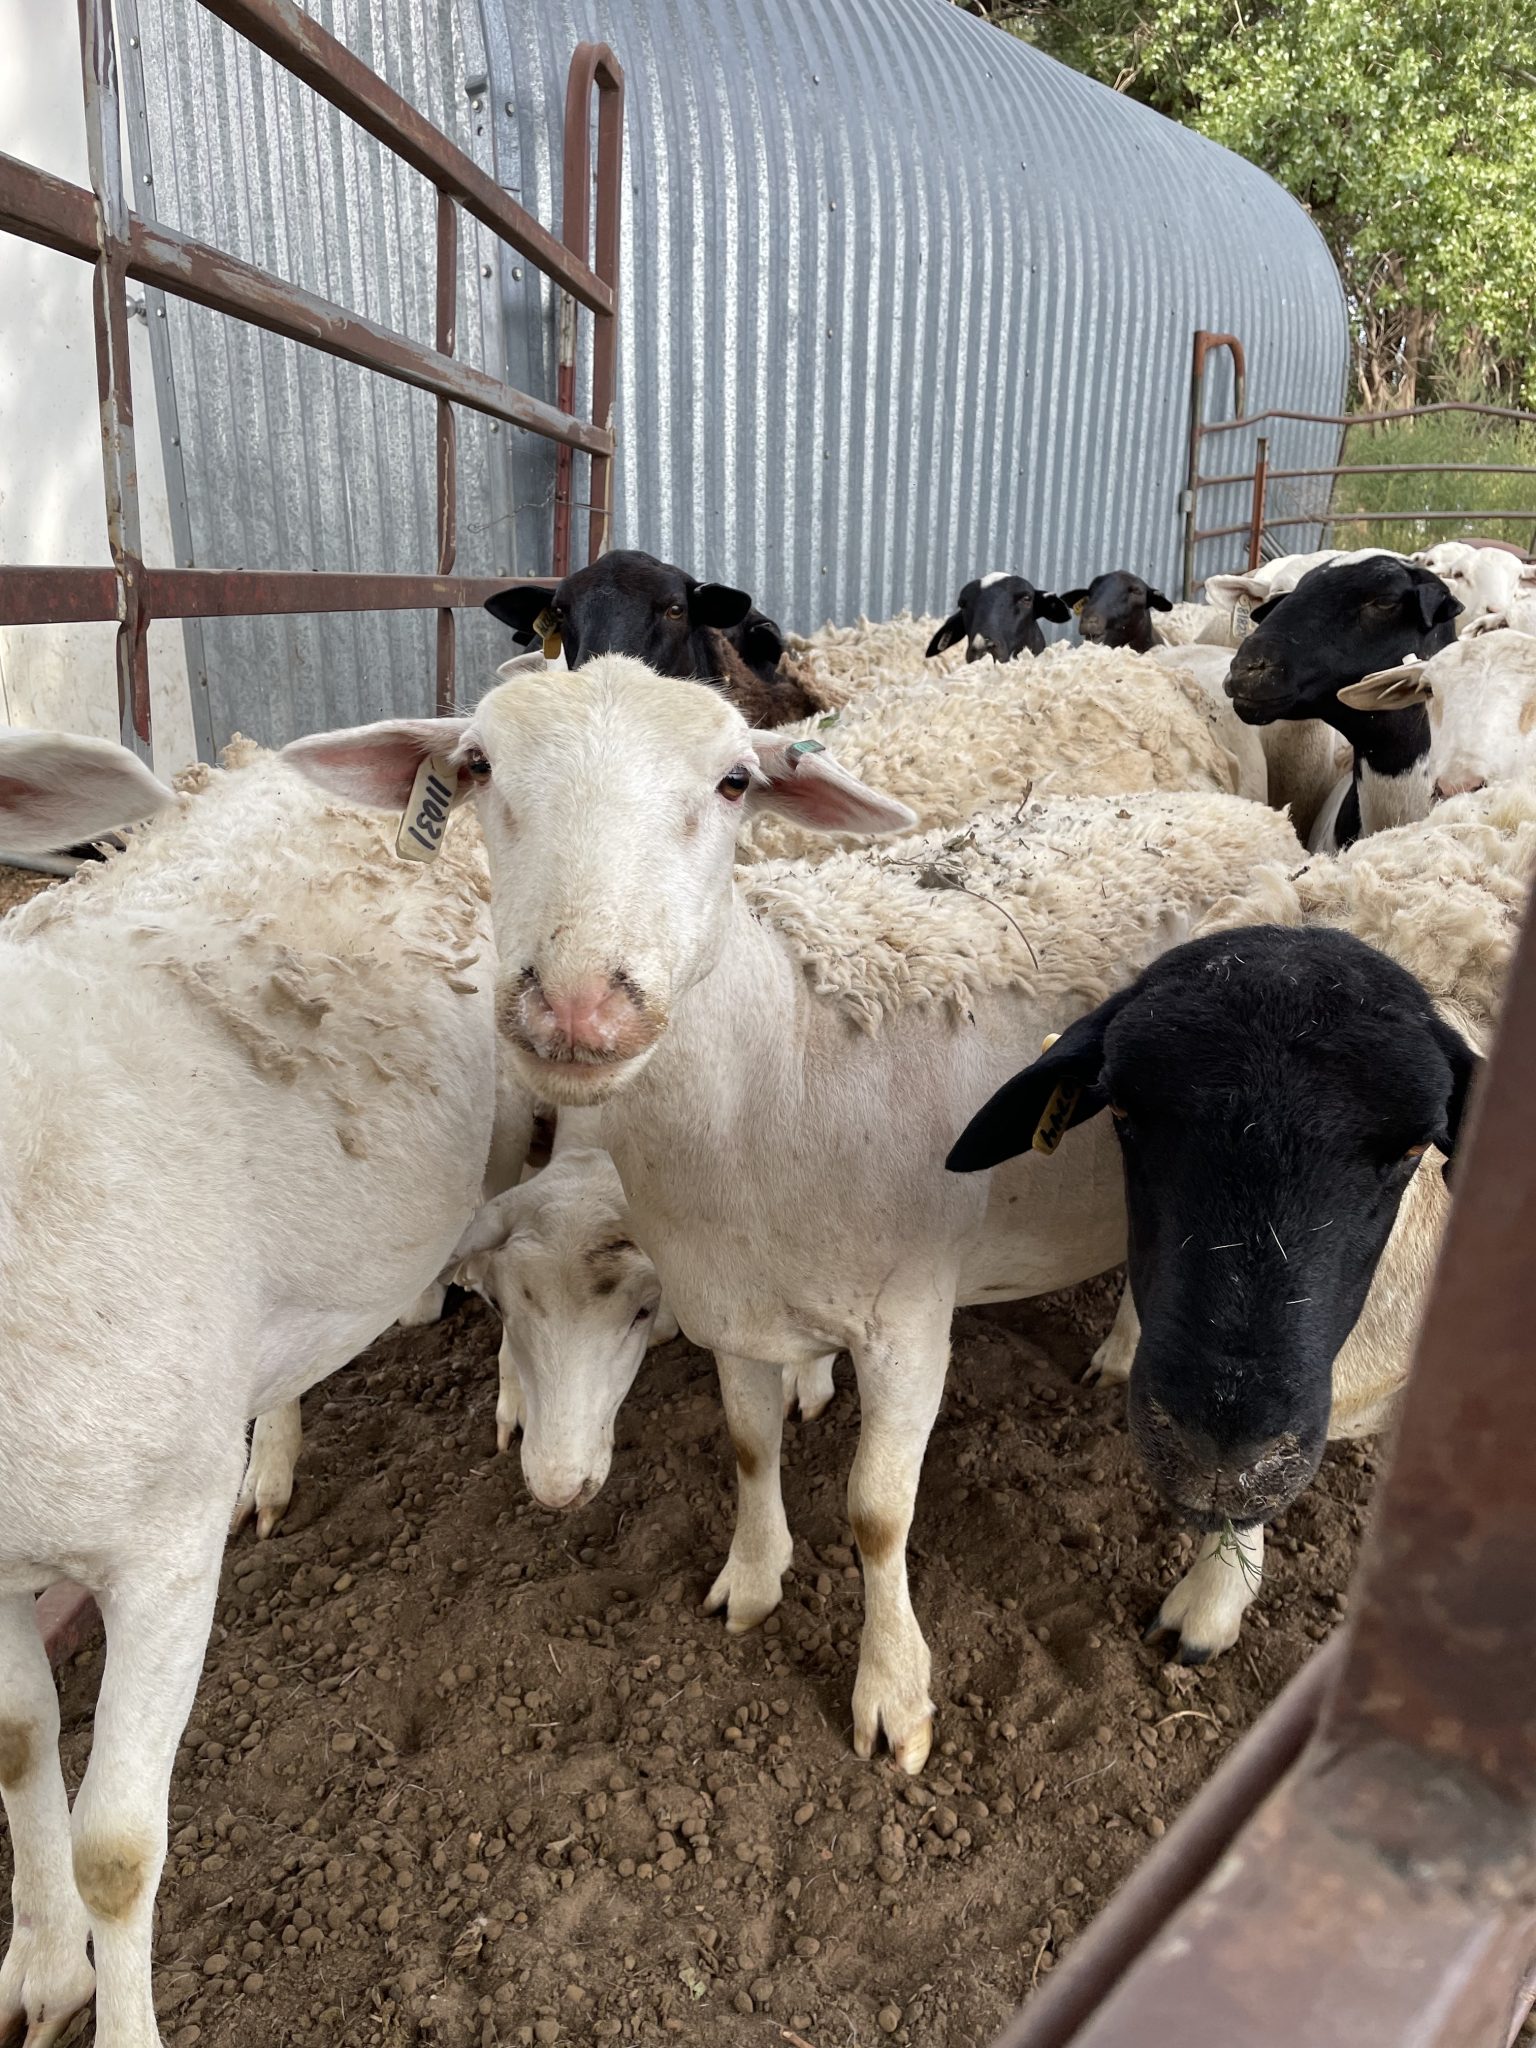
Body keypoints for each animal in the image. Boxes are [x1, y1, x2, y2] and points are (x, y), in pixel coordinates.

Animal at [284, 661, 1305, 1771]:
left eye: (735, 782)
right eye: (476, 768)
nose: (578, 1007)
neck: (779, 1069)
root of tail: (1247, 814)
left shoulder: (909, 1322)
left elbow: (877, 1513)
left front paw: (893, 1693)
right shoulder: (728, 1300)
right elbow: (747, 1443)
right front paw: (754, 1577)